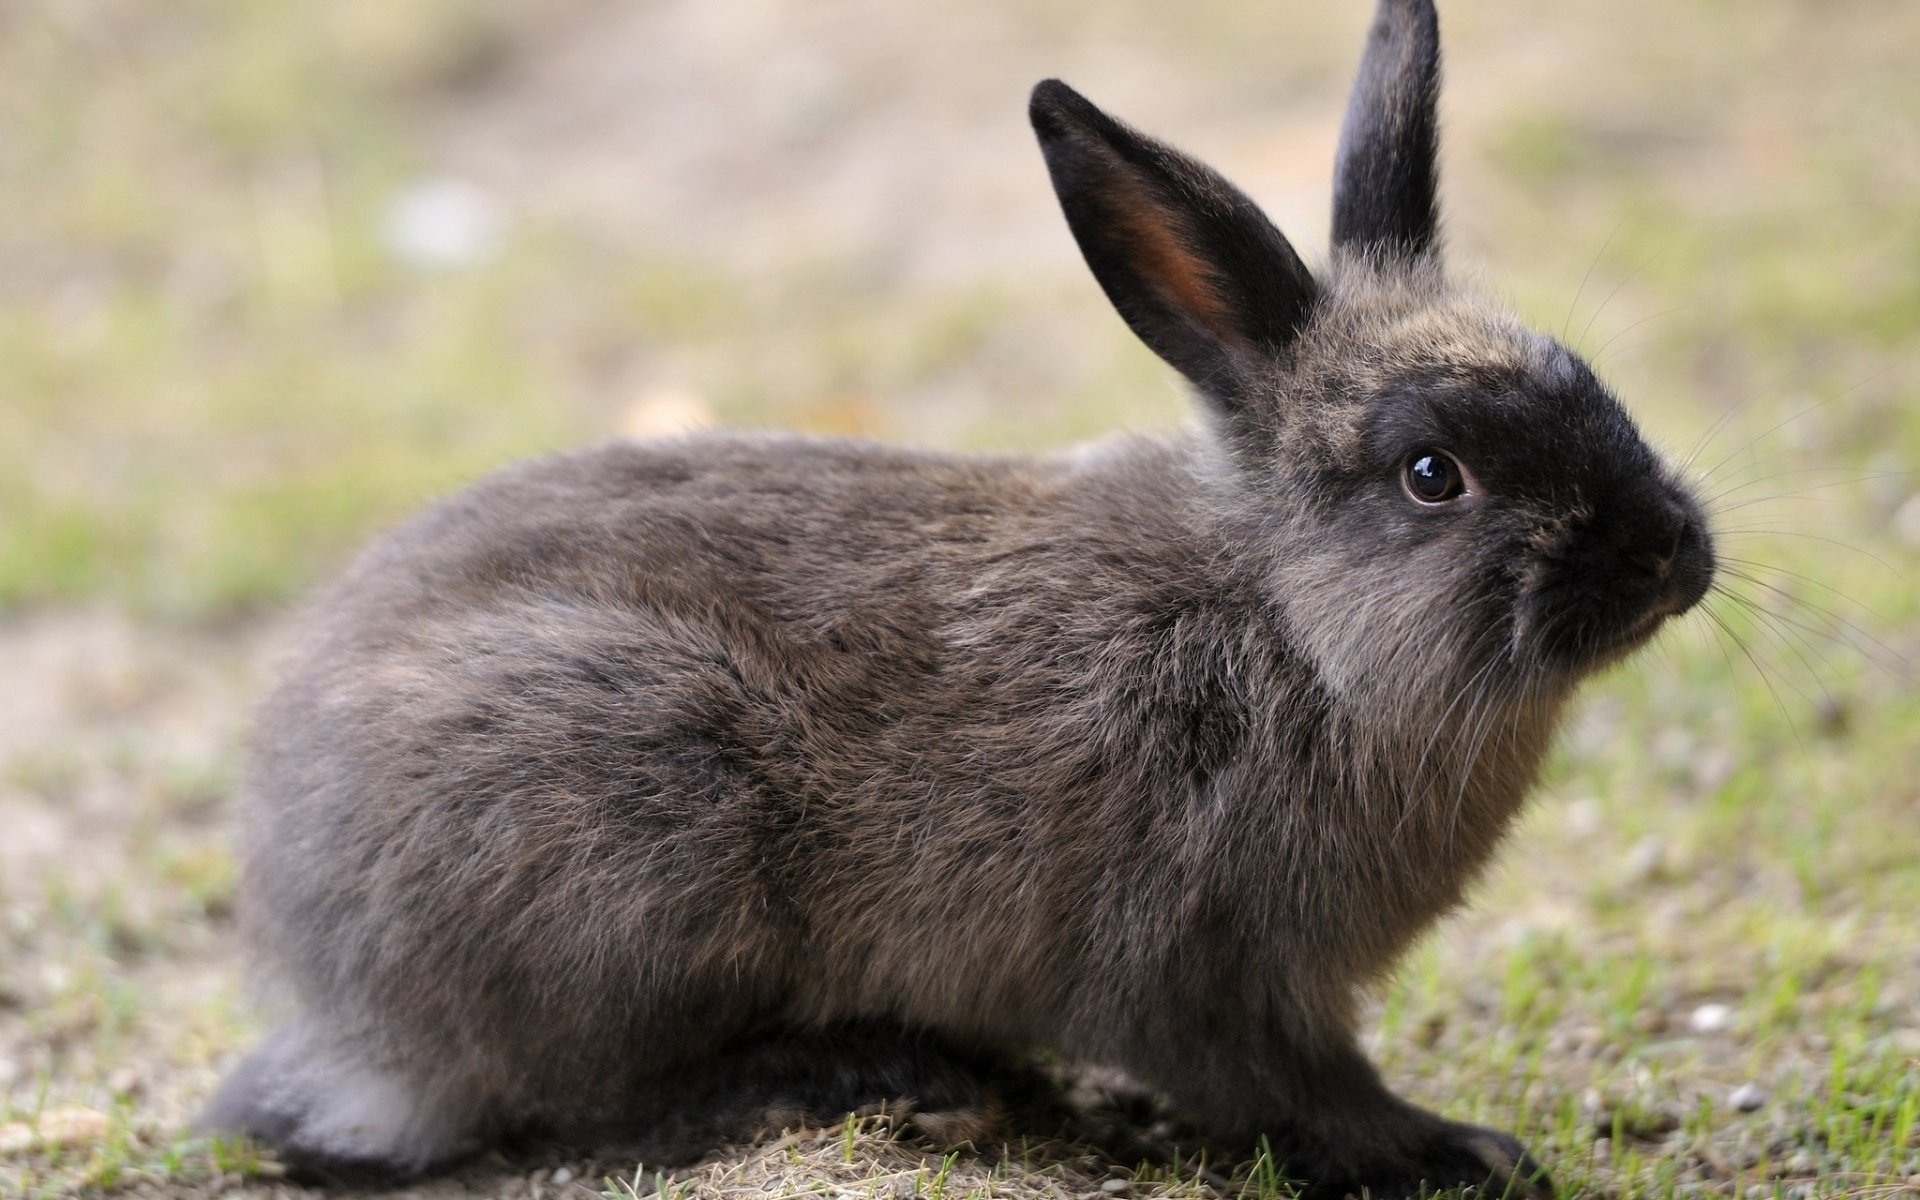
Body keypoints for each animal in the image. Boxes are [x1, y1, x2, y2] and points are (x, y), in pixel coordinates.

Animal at [199, 1, 1717, 1196]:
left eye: (1584, 376)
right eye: (1431, 473)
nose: (1673, 555)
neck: (1296, 627)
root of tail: (326, 975)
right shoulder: (1212, 970)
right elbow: (1297, 1090)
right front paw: (1456, 1149)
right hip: (635, 829)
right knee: (586, 1097)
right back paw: (872, 1077)